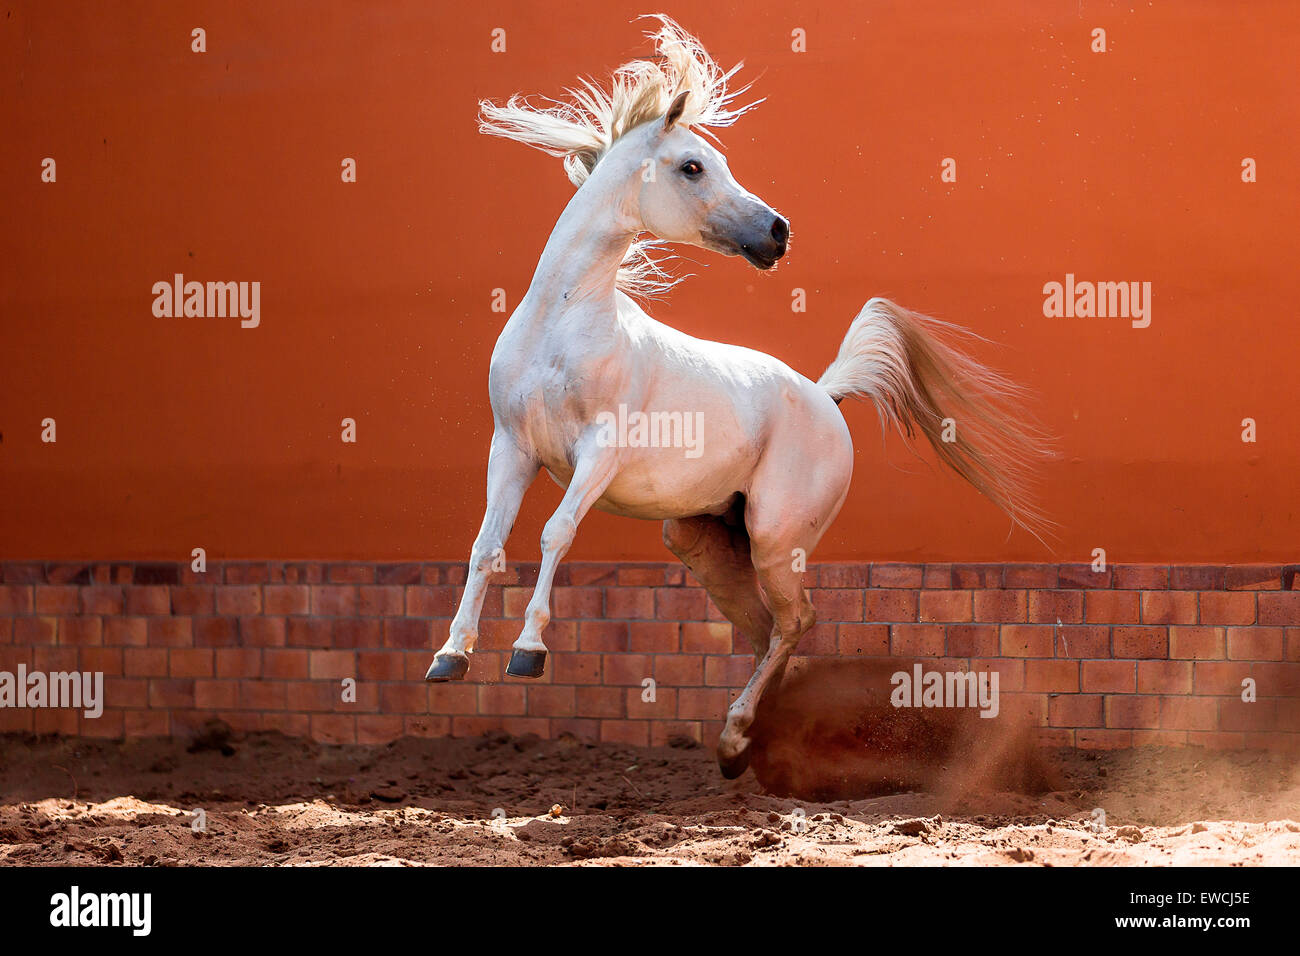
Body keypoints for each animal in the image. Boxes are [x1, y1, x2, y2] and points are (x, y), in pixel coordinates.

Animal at [425, 16, 1050, 778]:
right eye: (692, 166)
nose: (777, 232)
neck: (561, 325)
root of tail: (824, 396)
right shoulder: (512, 449)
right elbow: (486, 546)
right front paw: (449, 658)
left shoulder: (598, 454)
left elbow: (555, 533)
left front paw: (528, 652)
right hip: (703, 542)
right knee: (764, 629)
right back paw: (743, 742)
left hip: (776, 539)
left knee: (796, 620)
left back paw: (737, 734)